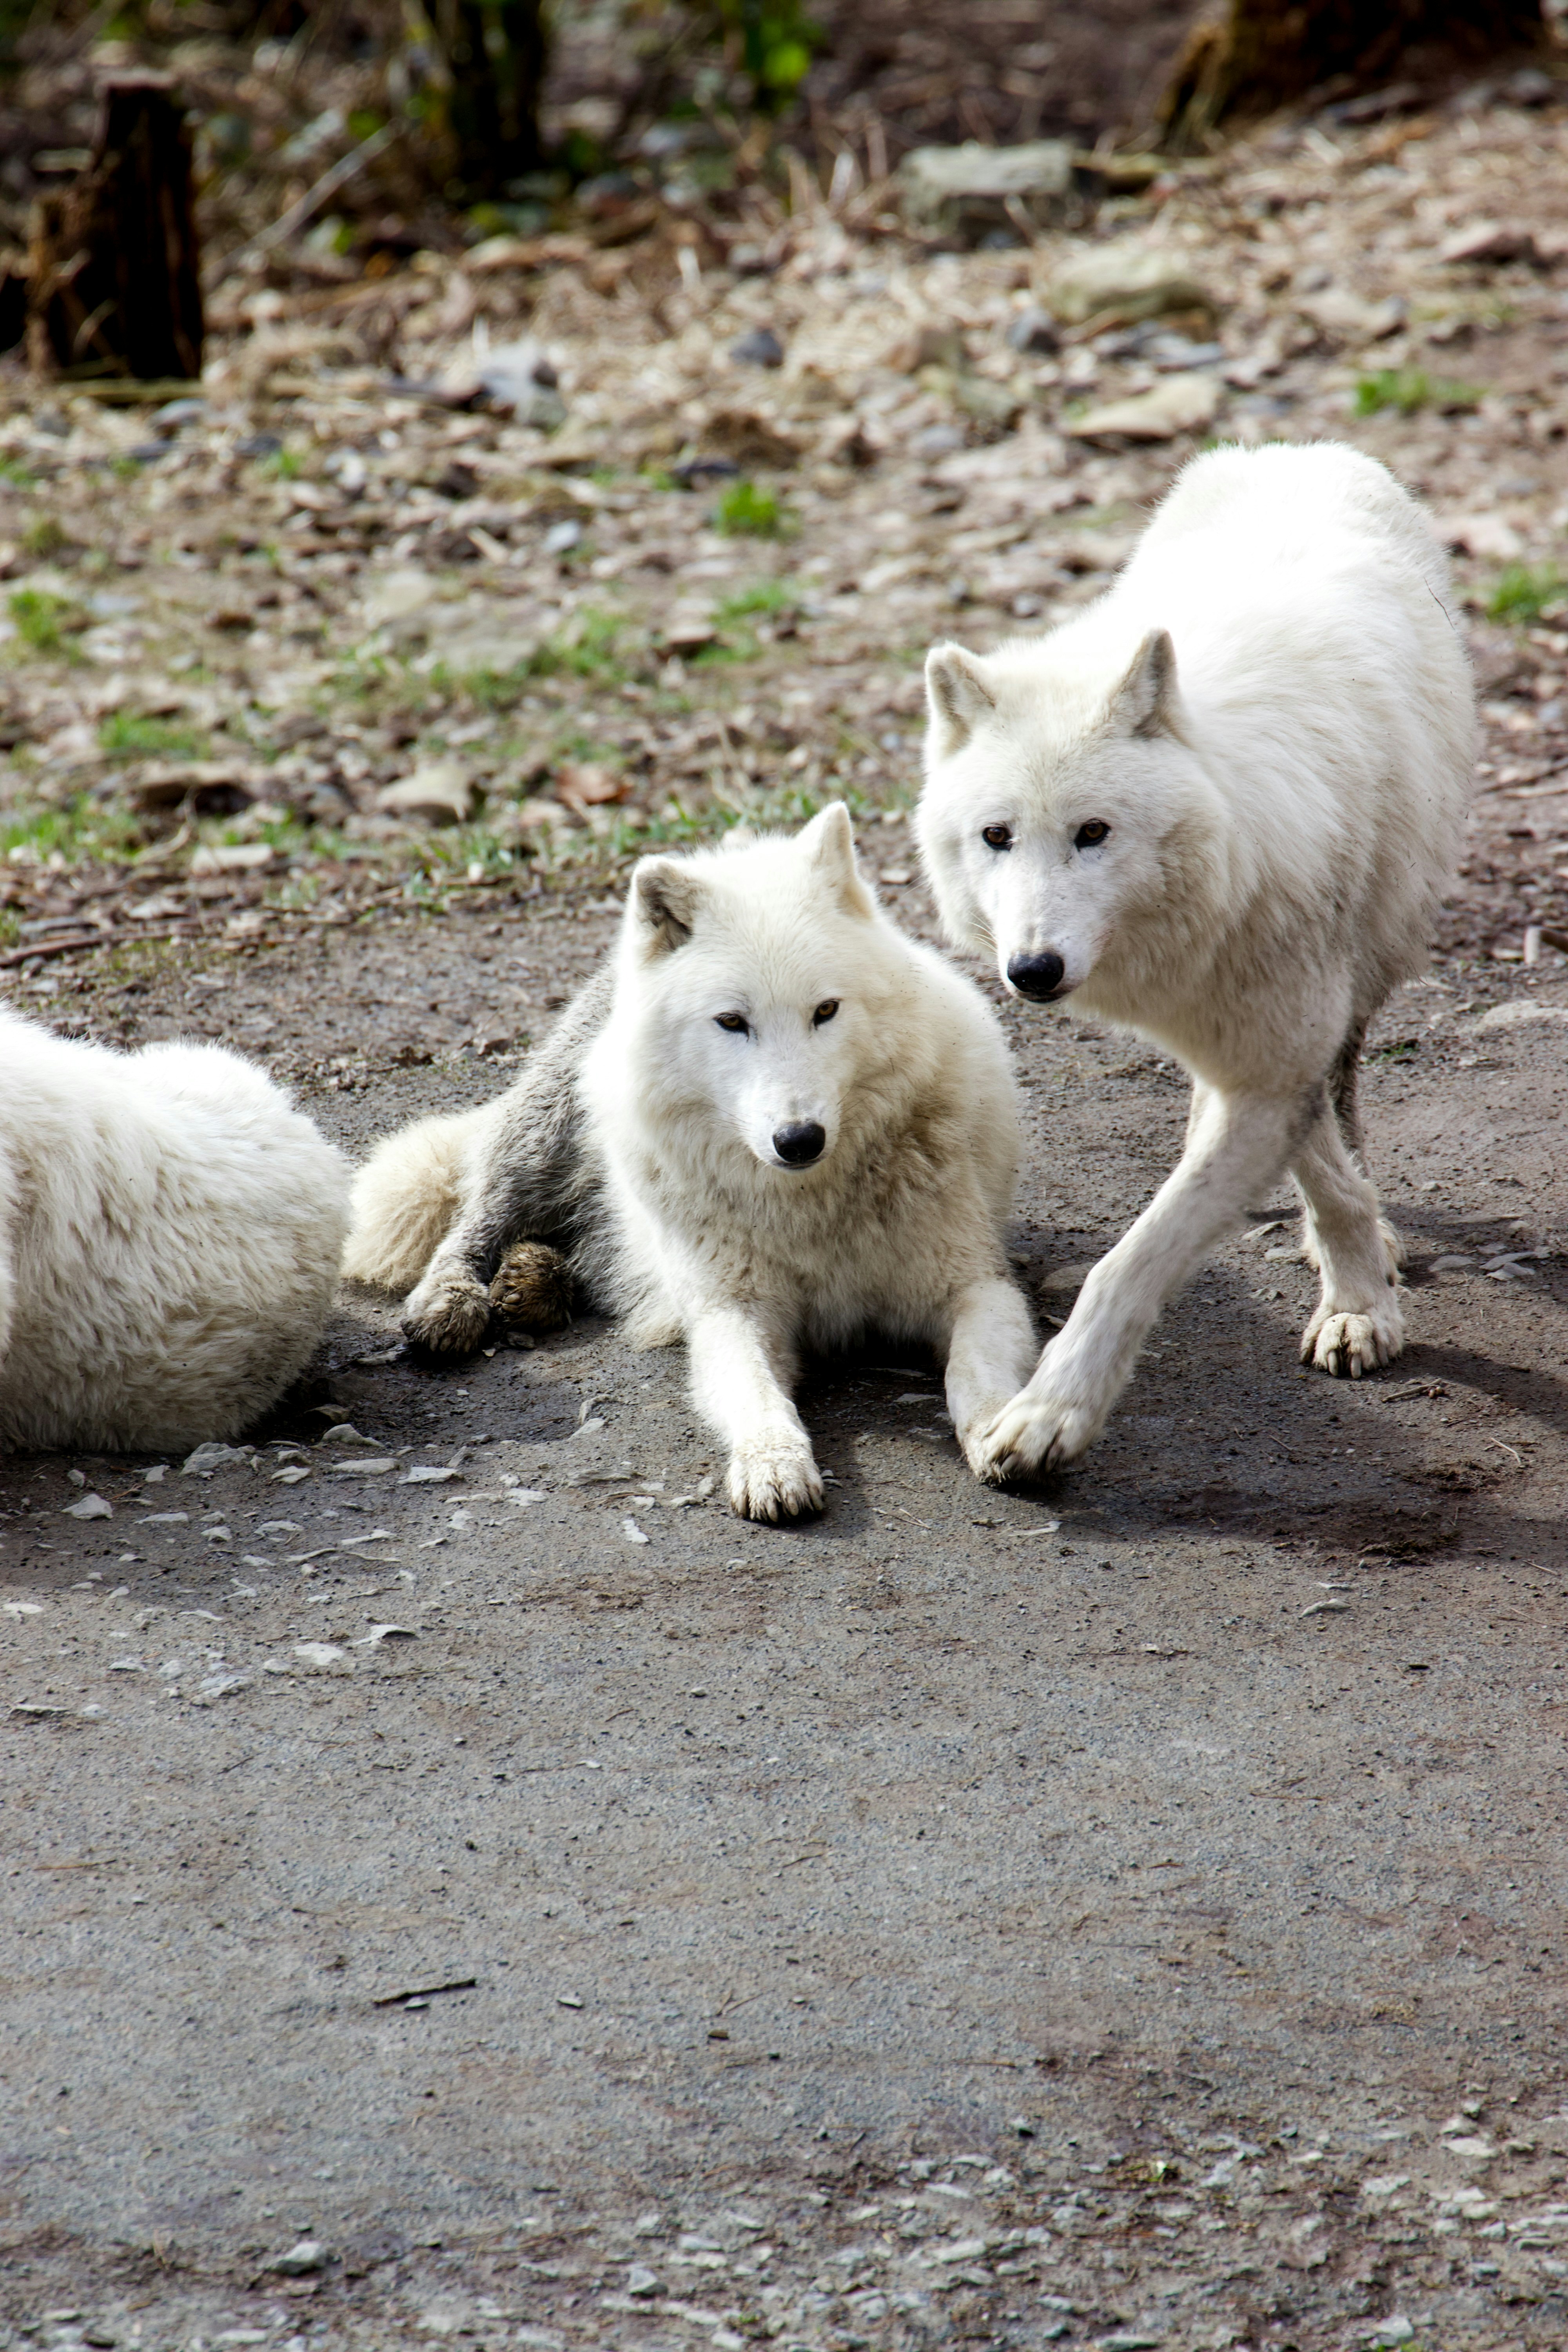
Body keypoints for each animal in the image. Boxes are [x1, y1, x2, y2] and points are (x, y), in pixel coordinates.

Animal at [343, 805, 1037, 1522]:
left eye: (826, 1011)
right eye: (732, 1022)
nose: (799, 1139)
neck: (811, 1207)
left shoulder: (977, 1286)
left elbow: (974, 1374)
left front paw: (1007, 1430)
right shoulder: (733, 1313)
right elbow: (758, 1395)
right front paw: (772, 1466)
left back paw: (533, 1281)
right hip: (547, 1139)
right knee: (475, 1221)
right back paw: (455, 1301)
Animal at [917, 440, 1473, 1481]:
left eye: (1092, 833)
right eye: (996, 837)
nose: (1032, 971)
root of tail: (1293, 446)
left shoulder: (1277, 1051)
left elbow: (1131, 1259)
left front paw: (1050, 1413)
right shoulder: (1248, 1054)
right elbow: (1306, 1168)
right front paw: (1358, 1278)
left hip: (1375, 956)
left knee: (1342, 1082)